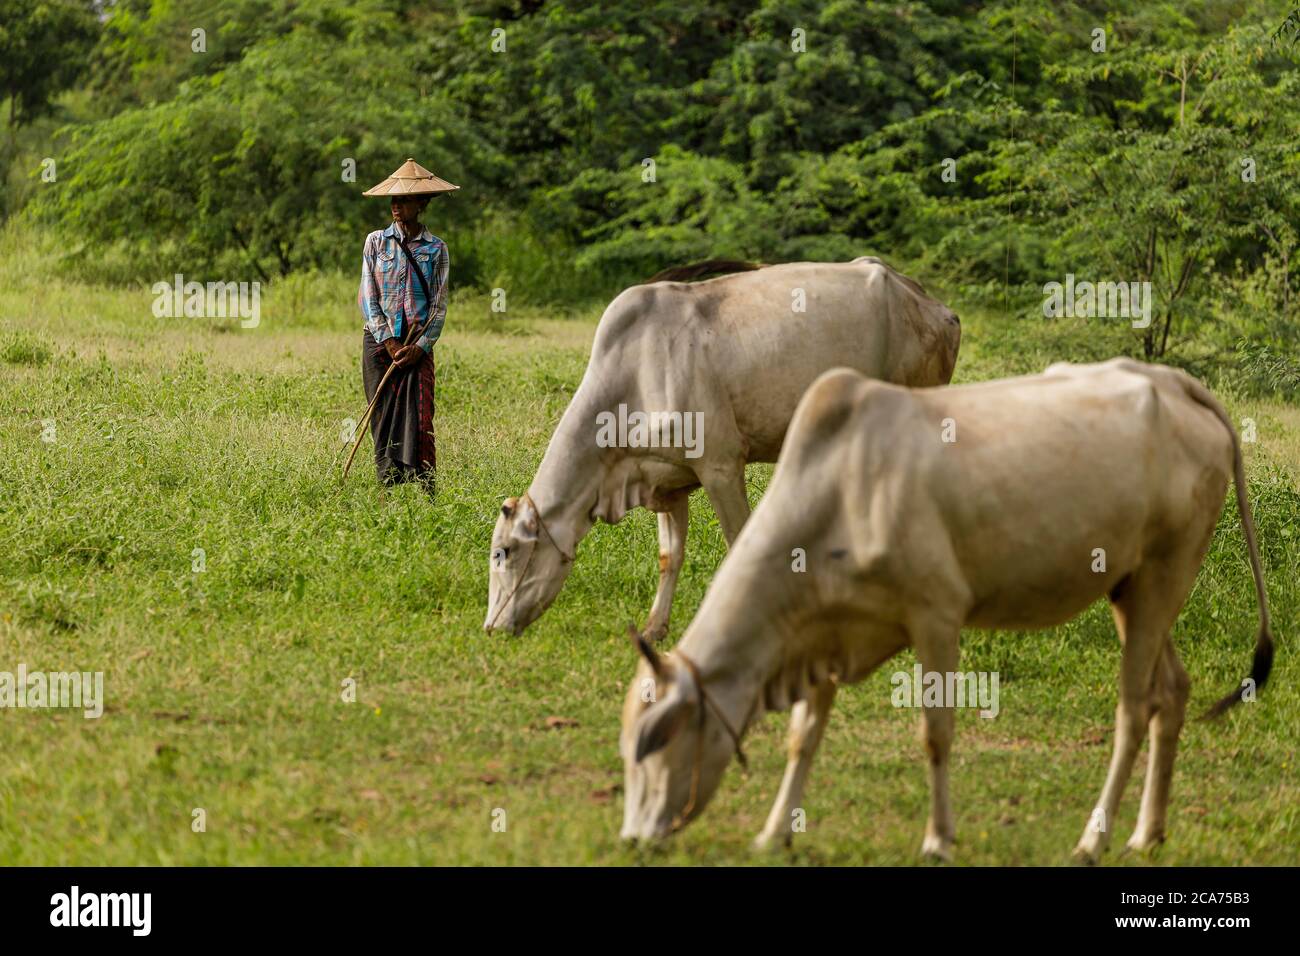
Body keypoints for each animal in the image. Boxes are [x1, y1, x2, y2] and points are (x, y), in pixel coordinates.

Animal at [484, 257, 962, 638]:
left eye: (502, 553)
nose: (491, 627)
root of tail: (926, 300)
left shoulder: (721, 466)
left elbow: (738, 545)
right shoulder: (666, 483)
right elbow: (669, 556)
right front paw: (655, 628)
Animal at [620, 358, 1273, 864]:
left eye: (652, 741)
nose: (632, 839)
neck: (838, 493)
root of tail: (1173, 382)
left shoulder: (935, 616)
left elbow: (935, 733)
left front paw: (937, 839)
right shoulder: (825, 631)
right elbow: (803, 737)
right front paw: (775, 832)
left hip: (1167, 571)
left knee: (1134, 709)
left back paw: (1095, 839)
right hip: (1133, 587)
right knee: (1173, 690)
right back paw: (1146, 834)